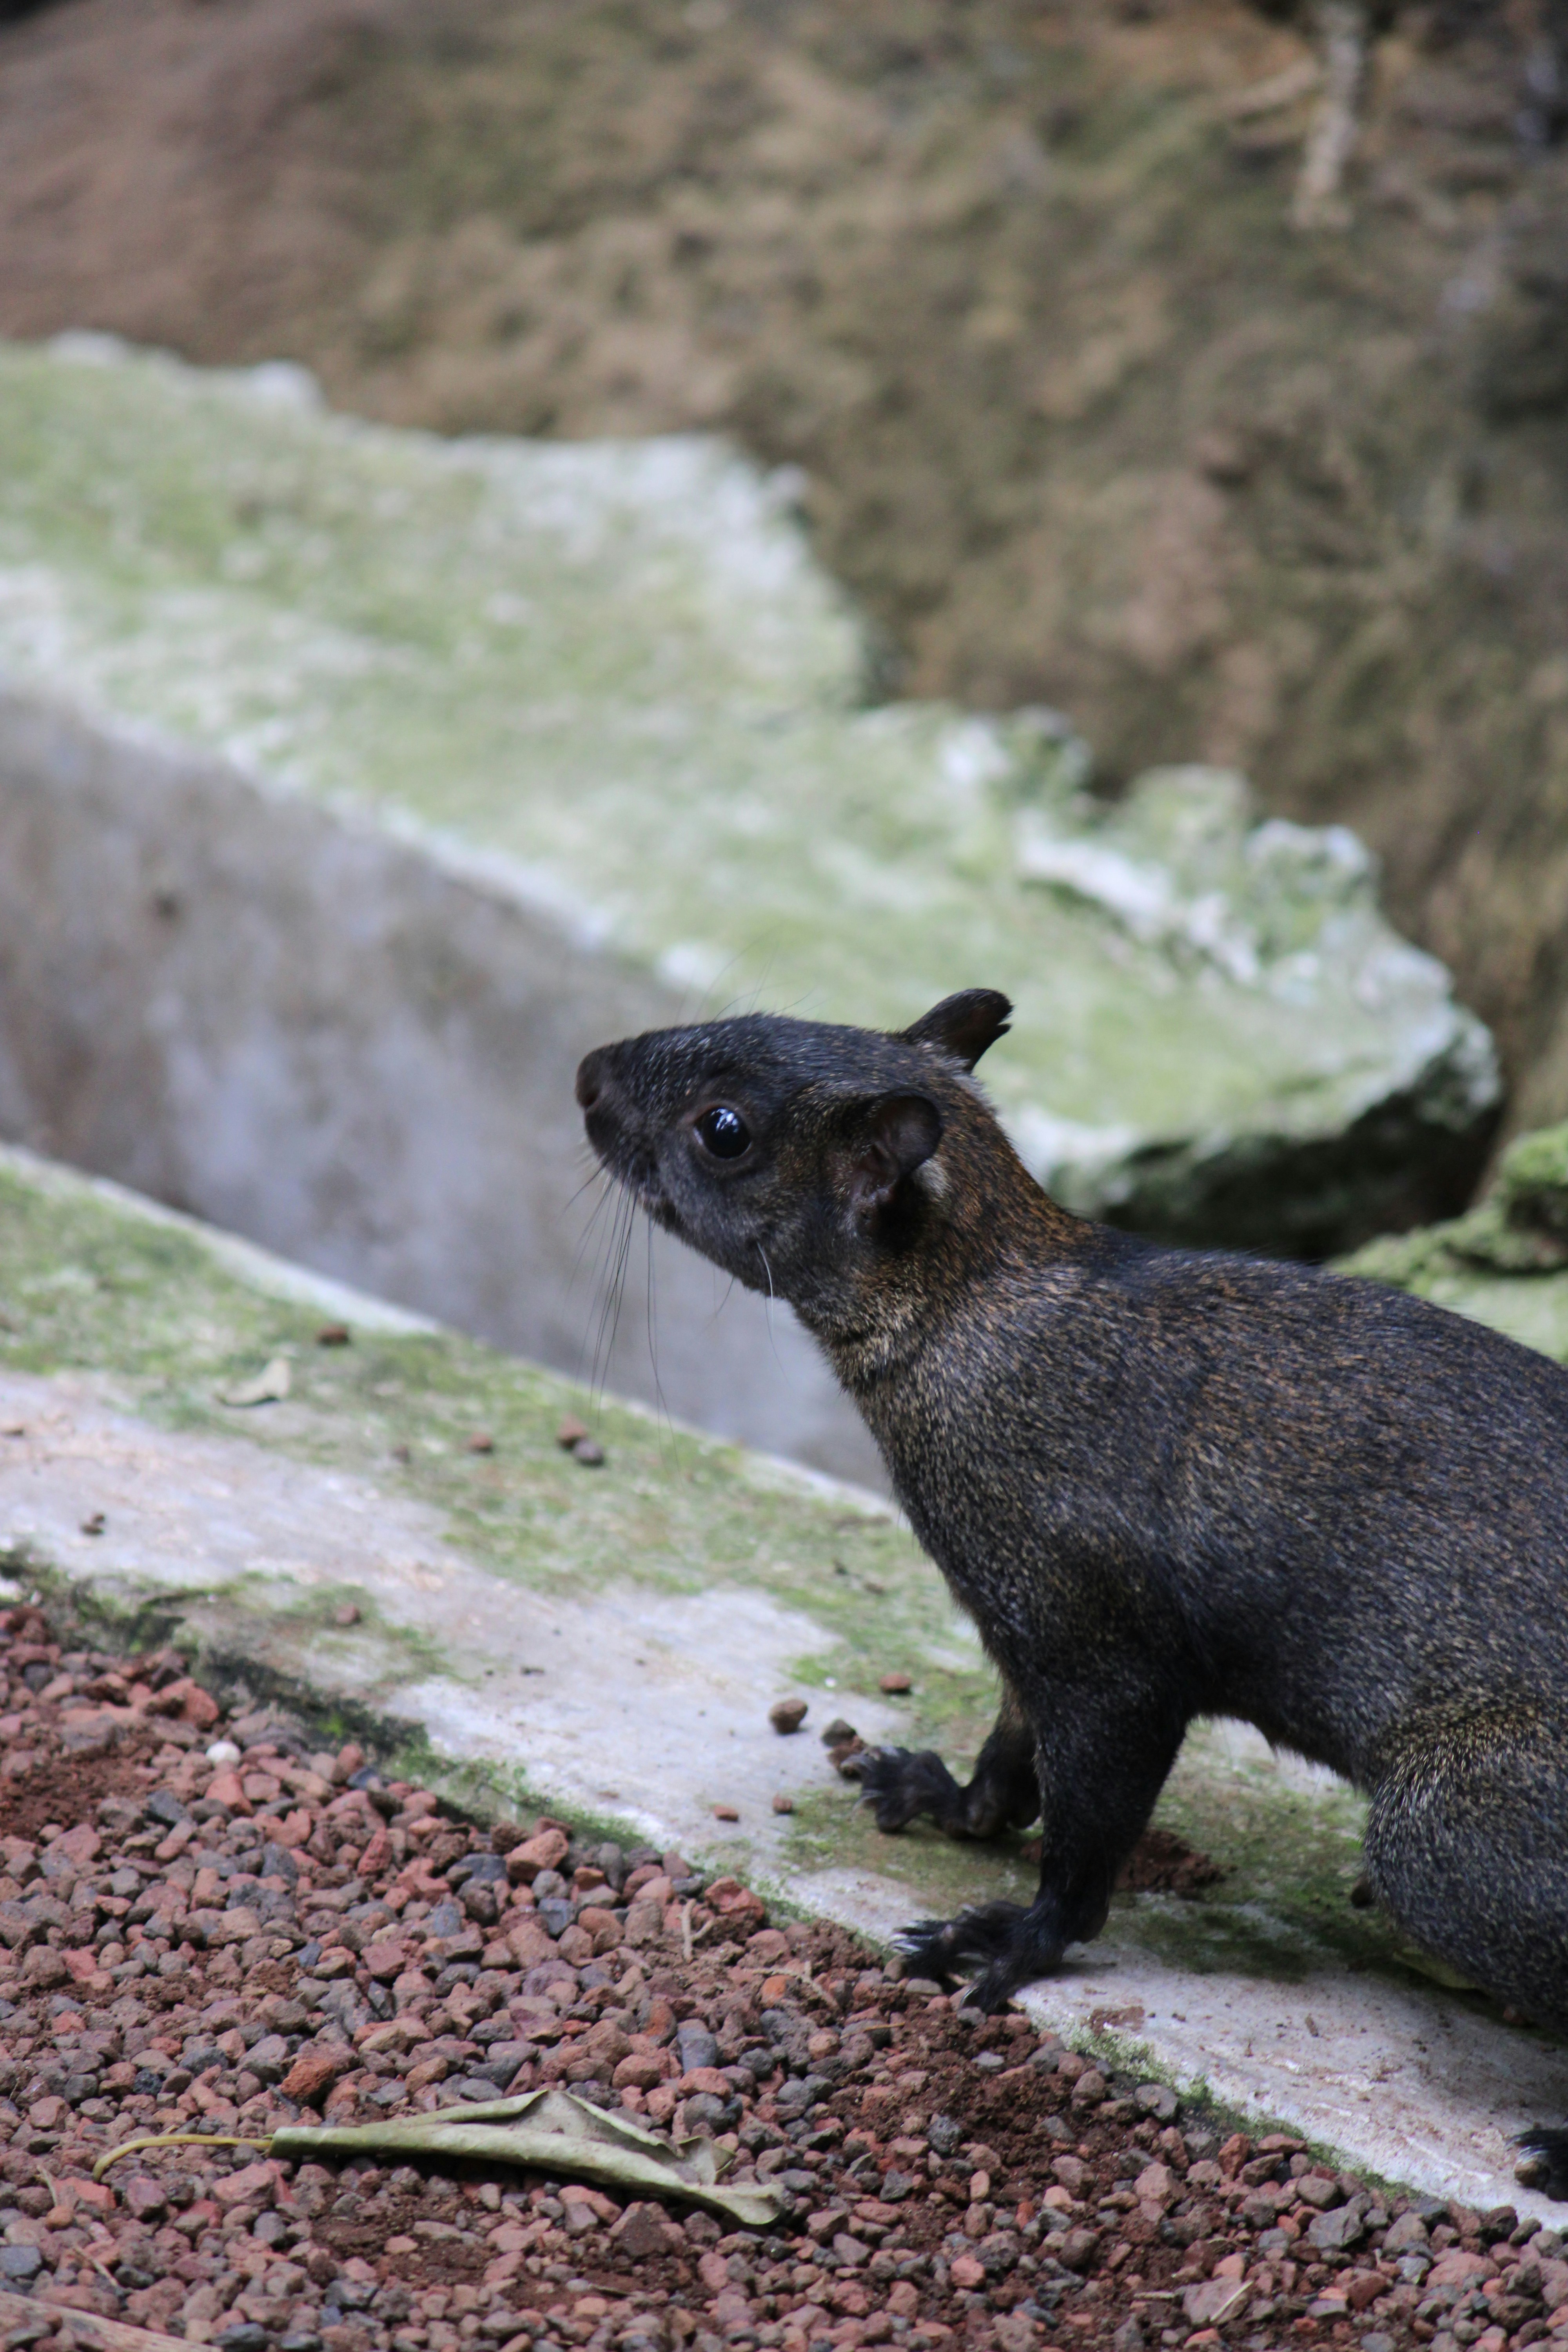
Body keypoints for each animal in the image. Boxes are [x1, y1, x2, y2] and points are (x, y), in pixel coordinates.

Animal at [577, 988, 1568, 2193]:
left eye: (724, 1131)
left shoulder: (1093, 1637)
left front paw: (1013, 1941)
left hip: (1452, 1842)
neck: (971, 1309)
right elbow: (1011, 1764)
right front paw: (938, 1797)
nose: (586, 1074)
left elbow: (1084, 1834)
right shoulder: (1017, 1629)